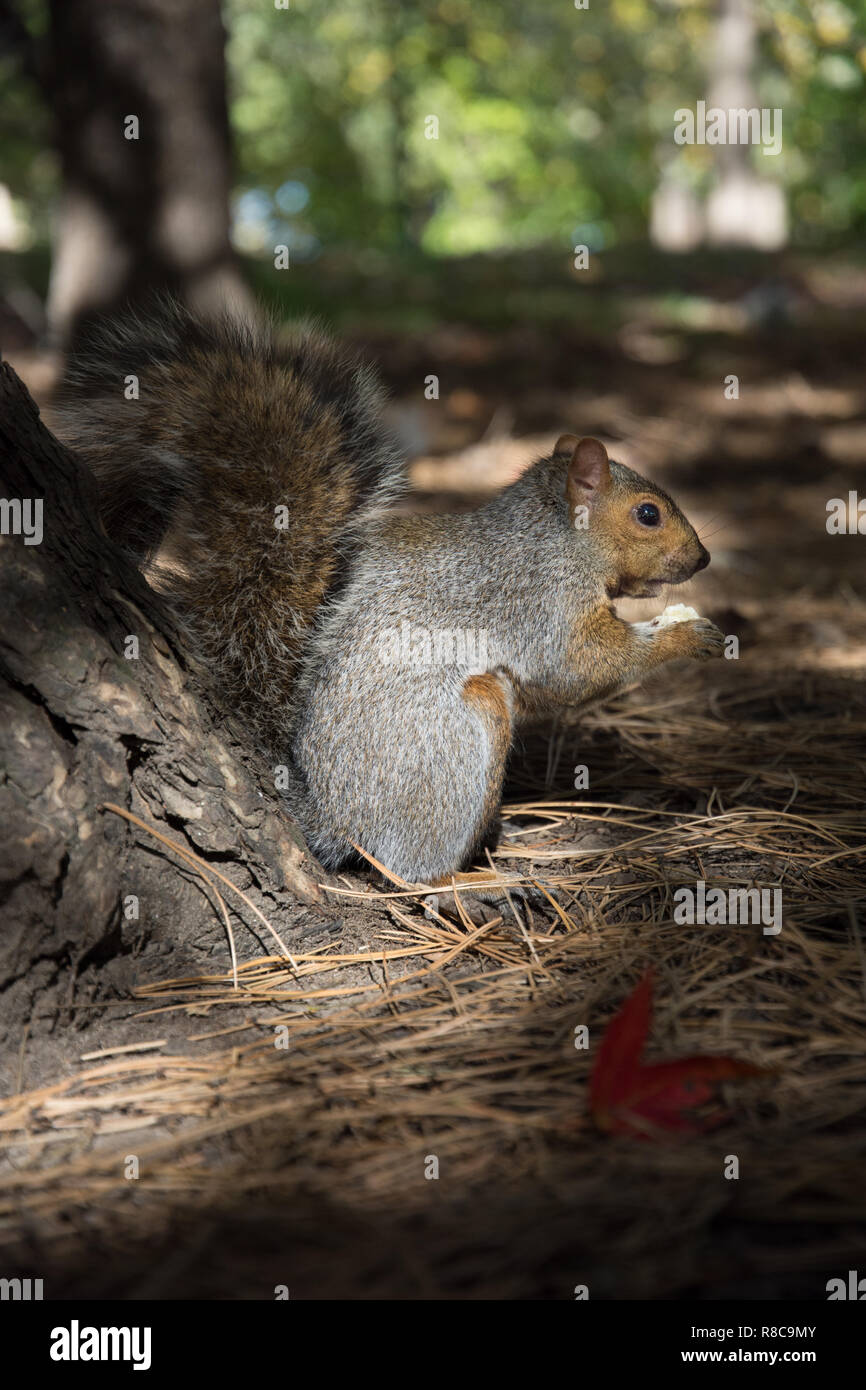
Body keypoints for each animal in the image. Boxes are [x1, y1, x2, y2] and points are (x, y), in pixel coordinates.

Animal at [52, 298, 724, 886]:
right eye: (647, 514)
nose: (704, 558)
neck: (555, 537)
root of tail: (327, 814)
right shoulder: (538, 601)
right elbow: (579, 665)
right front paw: (688, 635)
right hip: (451, 738)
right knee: (404, 862)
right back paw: (465, 882)